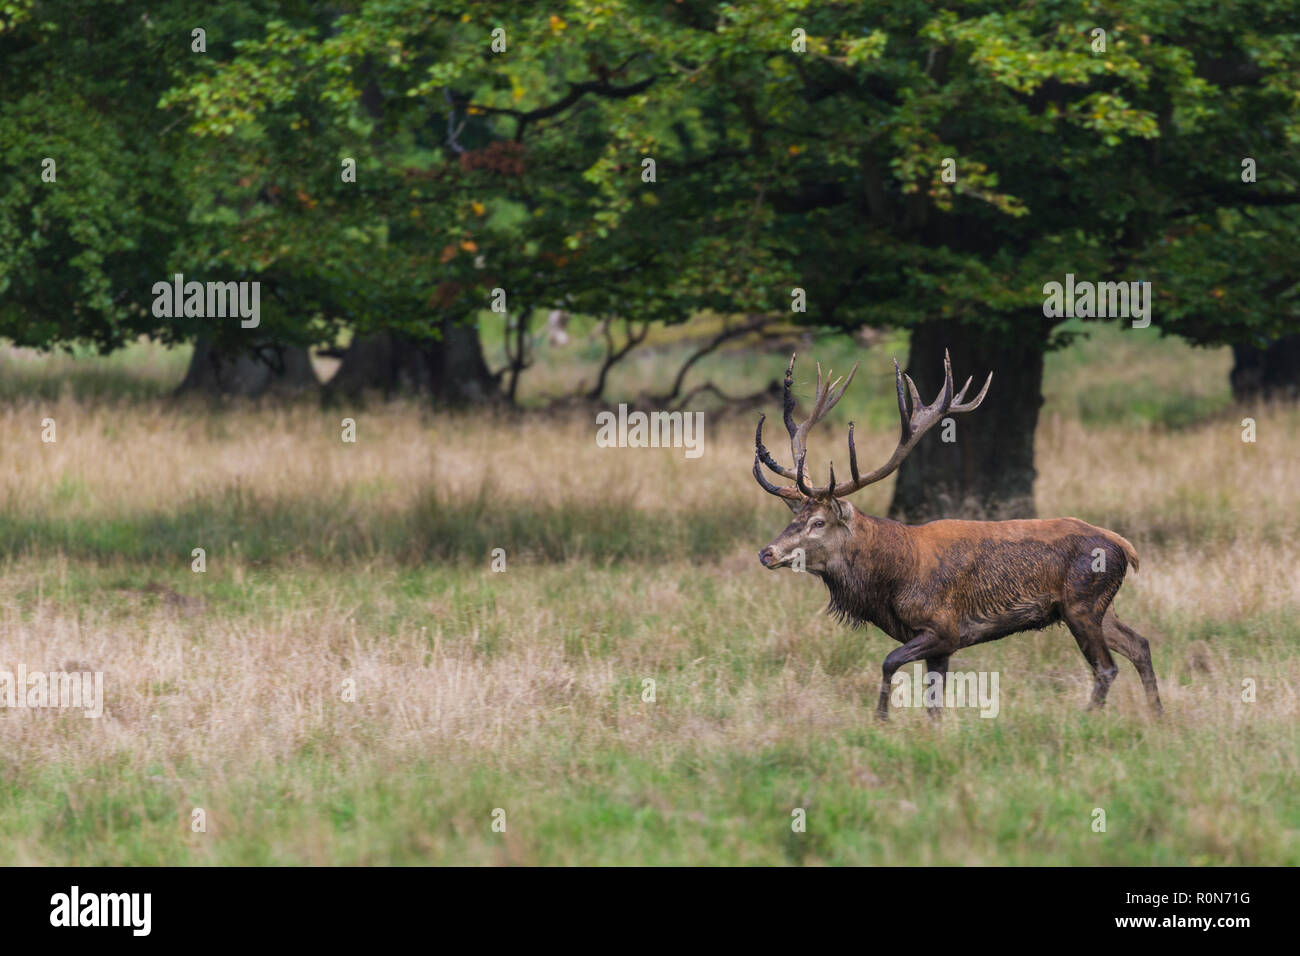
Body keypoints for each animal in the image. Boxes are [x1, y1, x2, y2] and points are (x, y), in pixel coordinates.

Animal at [753, 350, 1162, 720]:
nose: (767, 552)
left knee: (1107, 667)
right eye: (796, 516)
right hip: (1097, 606)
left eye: (819, 522)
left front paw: (881, 718)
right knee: (1140, 644)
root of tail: (1124, 547)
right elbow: (934, 704)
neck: (891, 581)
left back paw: (1086, 718)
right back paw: (1156, 715)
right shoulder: (939, 647)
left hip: (1082, 603)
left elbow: (889, 662)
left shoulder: (943, 628)